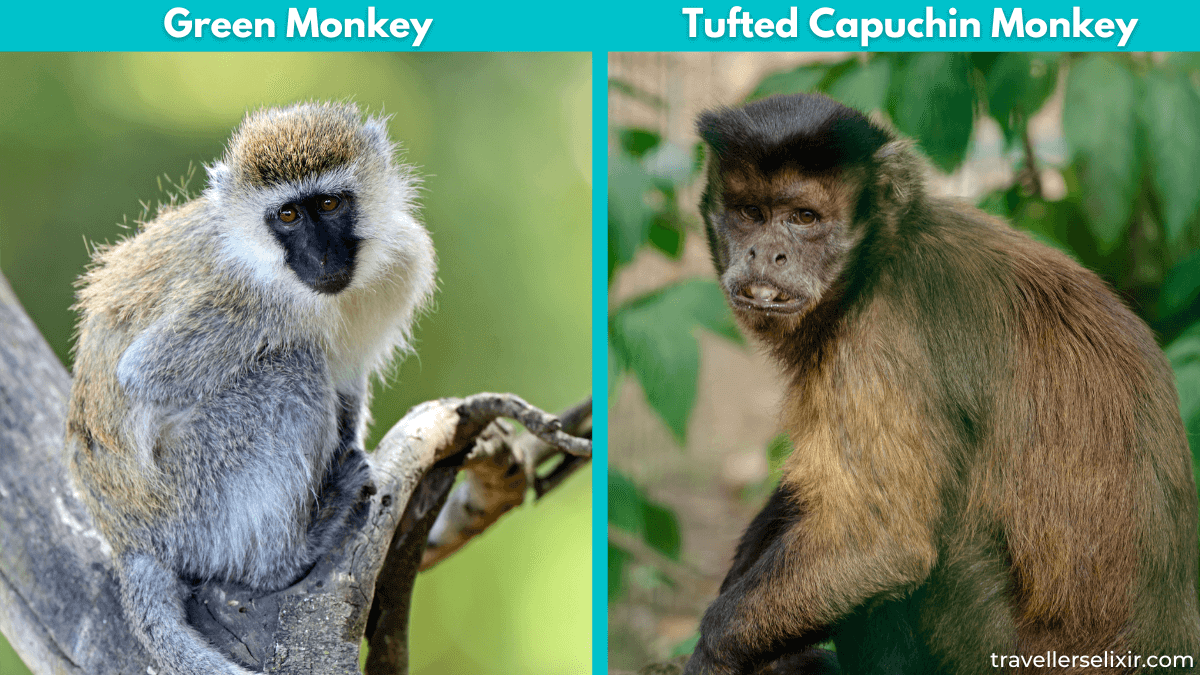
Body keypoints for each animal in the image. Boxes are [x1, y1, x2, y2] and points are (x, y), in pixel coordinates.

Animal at [65, 101, 437, 675]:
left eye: (328, 204)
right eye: (287, 216)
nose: (322, 257)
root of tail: (127, 537)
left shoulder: (402, 262)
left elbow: (347, 377)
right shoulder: (249, 303)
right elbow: (143, 374)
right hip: (193, 502)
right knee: (291, 370)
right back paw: (290, 555)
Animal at [686, 92, 1200, 675]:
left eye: (804, 218)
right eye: (750, 213)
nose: (766, 252)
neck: (878, 259)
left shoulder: (882, 341)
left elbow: (880, 547)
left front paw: (713, 653)